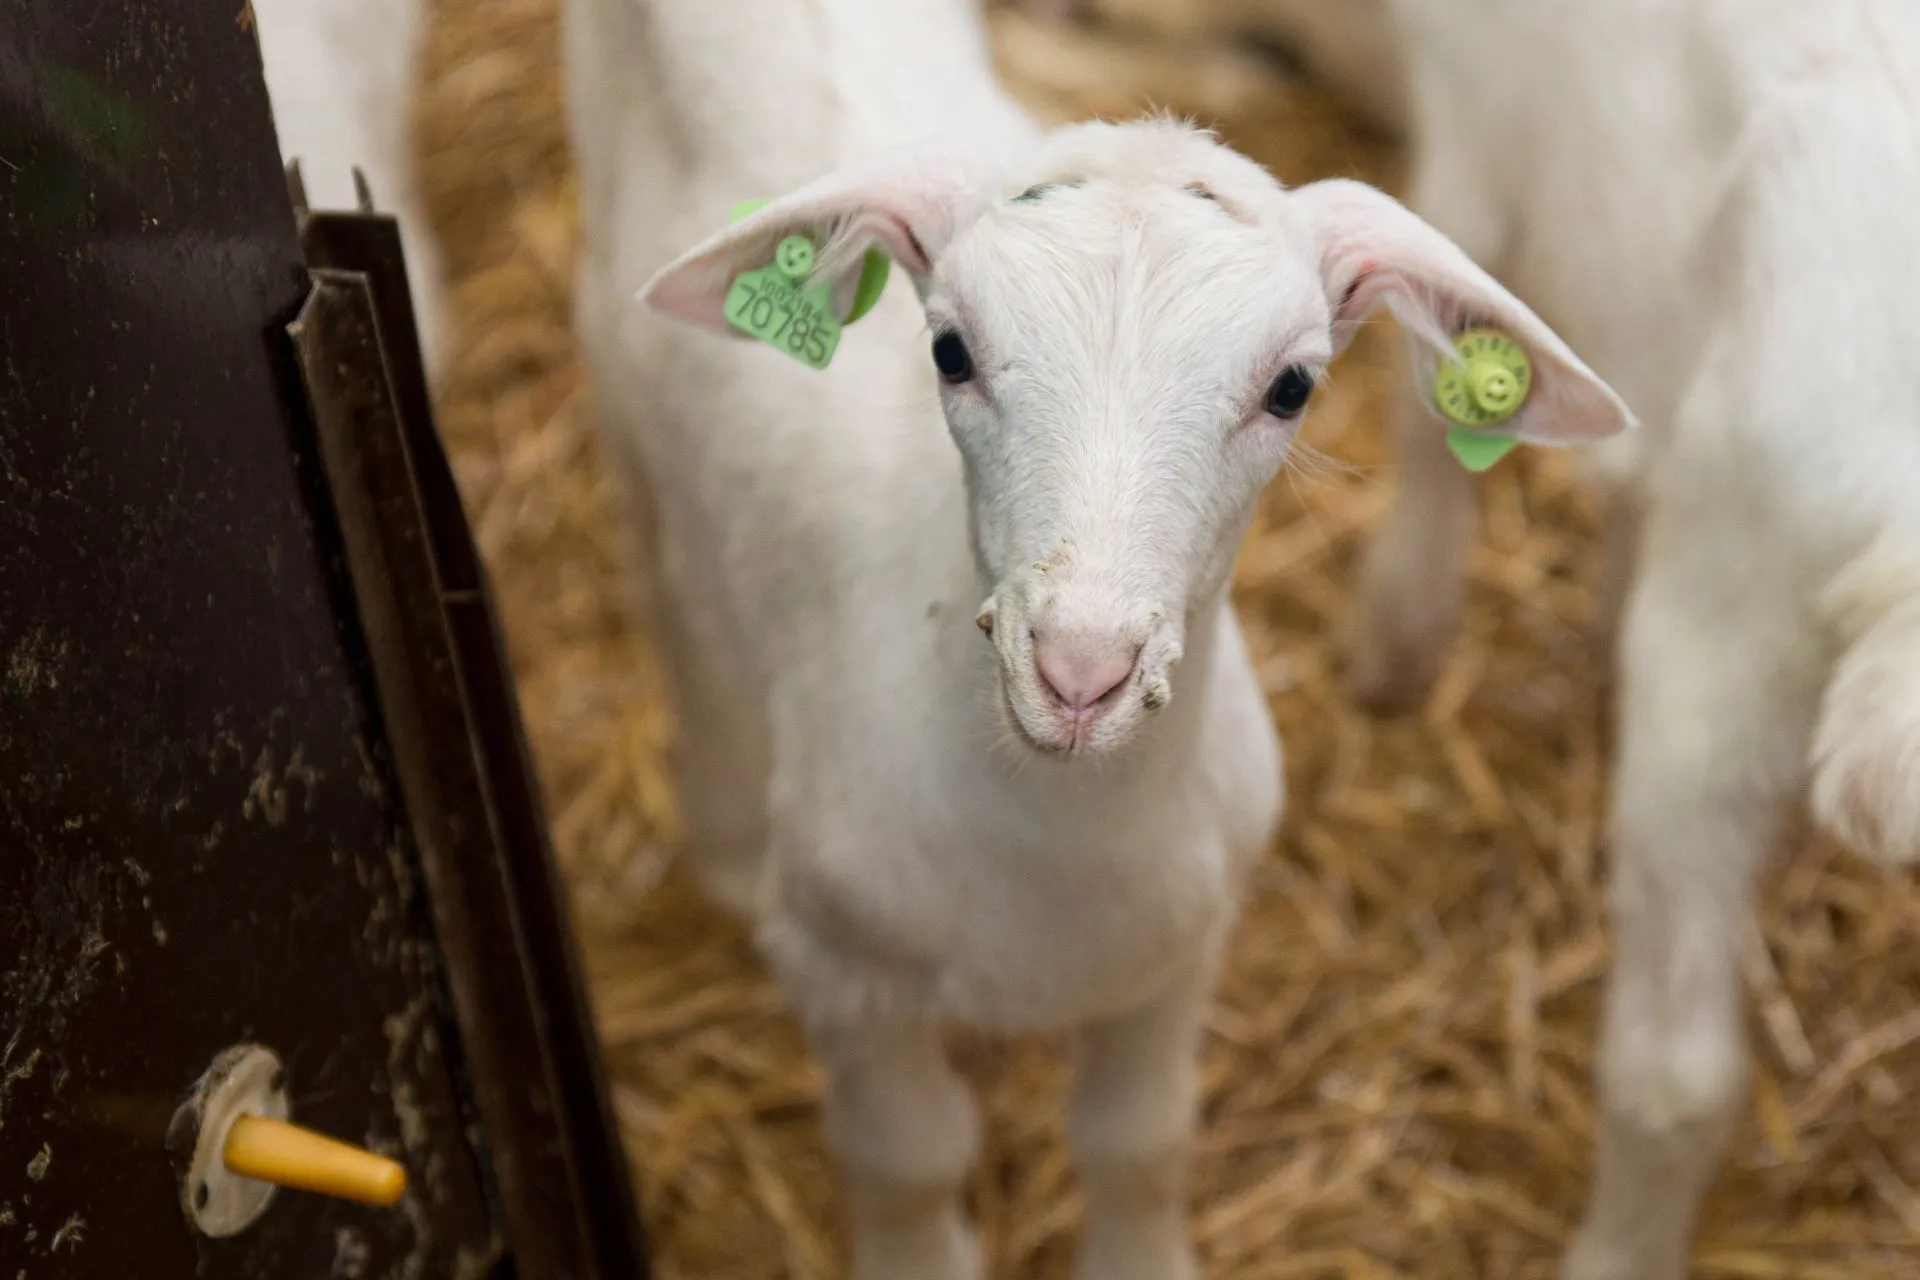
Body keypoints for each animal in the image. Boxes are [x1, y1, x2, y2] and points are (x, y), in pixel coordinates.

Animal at [561, 0, 1630, 1275]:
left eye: (1292, 387)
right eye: (950, 350)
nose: (1079, 671)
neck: (1058, 835)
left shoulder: (1173, 957)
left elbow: (1141, 1141)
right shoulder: (845, 974)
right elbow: (908, 1159)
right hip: (618, 385)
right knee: (671, 597)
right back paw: (724, 839)